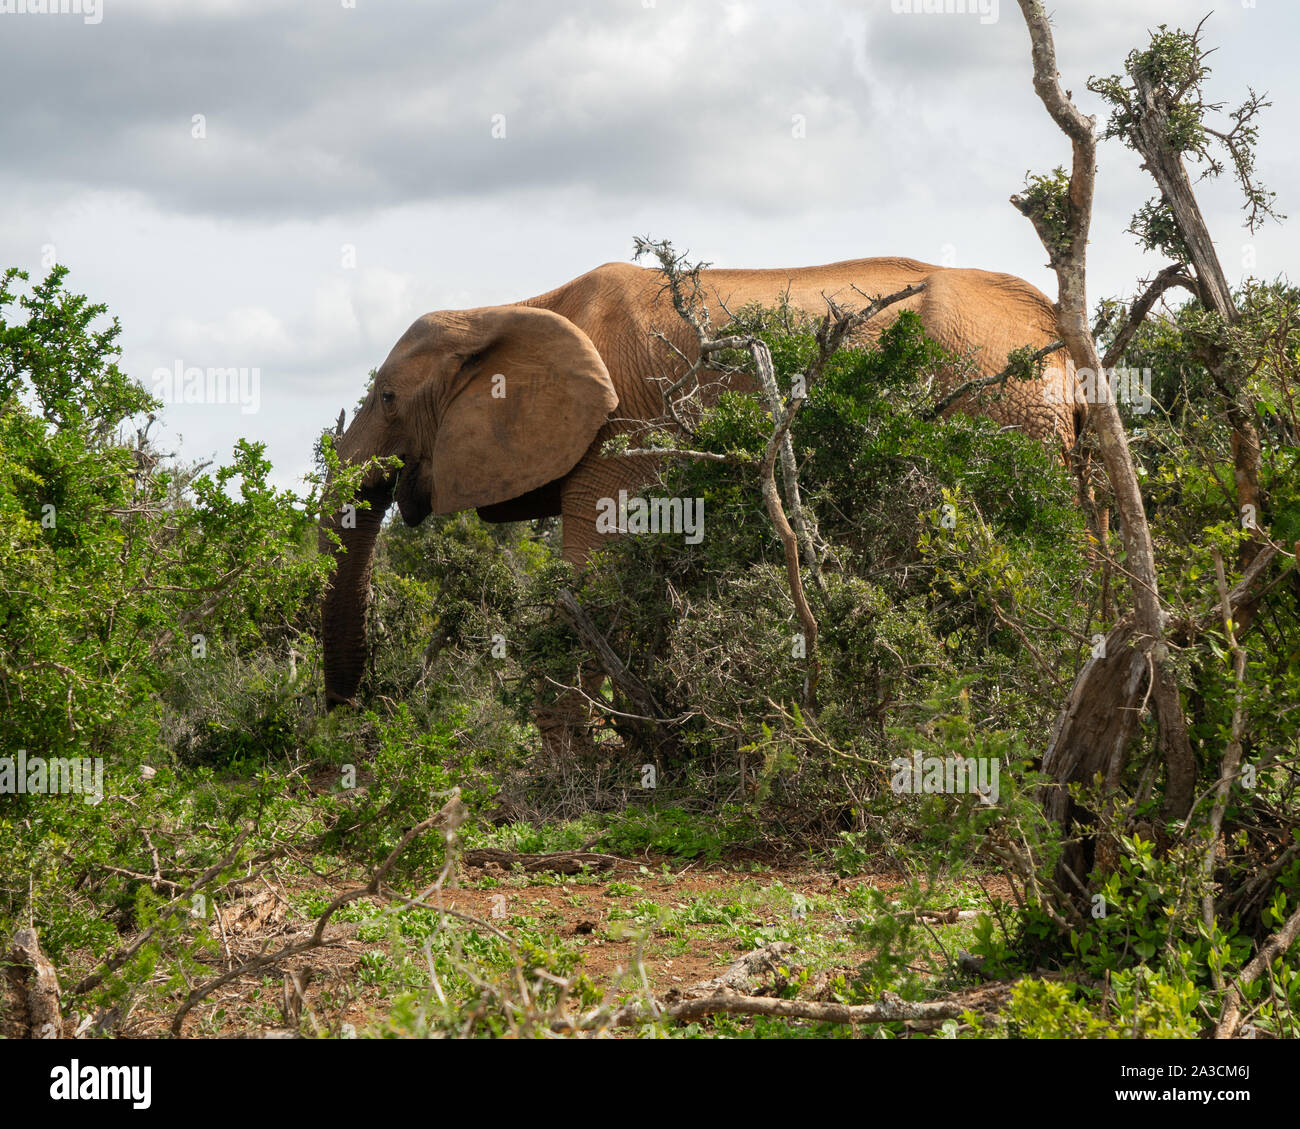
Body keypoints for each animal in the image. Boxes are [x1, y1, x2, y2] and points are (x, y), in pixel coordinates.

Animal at [320, 256, 1080, 707]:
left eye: (387, 398)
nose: (353, 714)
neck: (512, 307)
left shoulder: (624, 426)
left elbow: (593, 580)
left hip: (1007, 420)